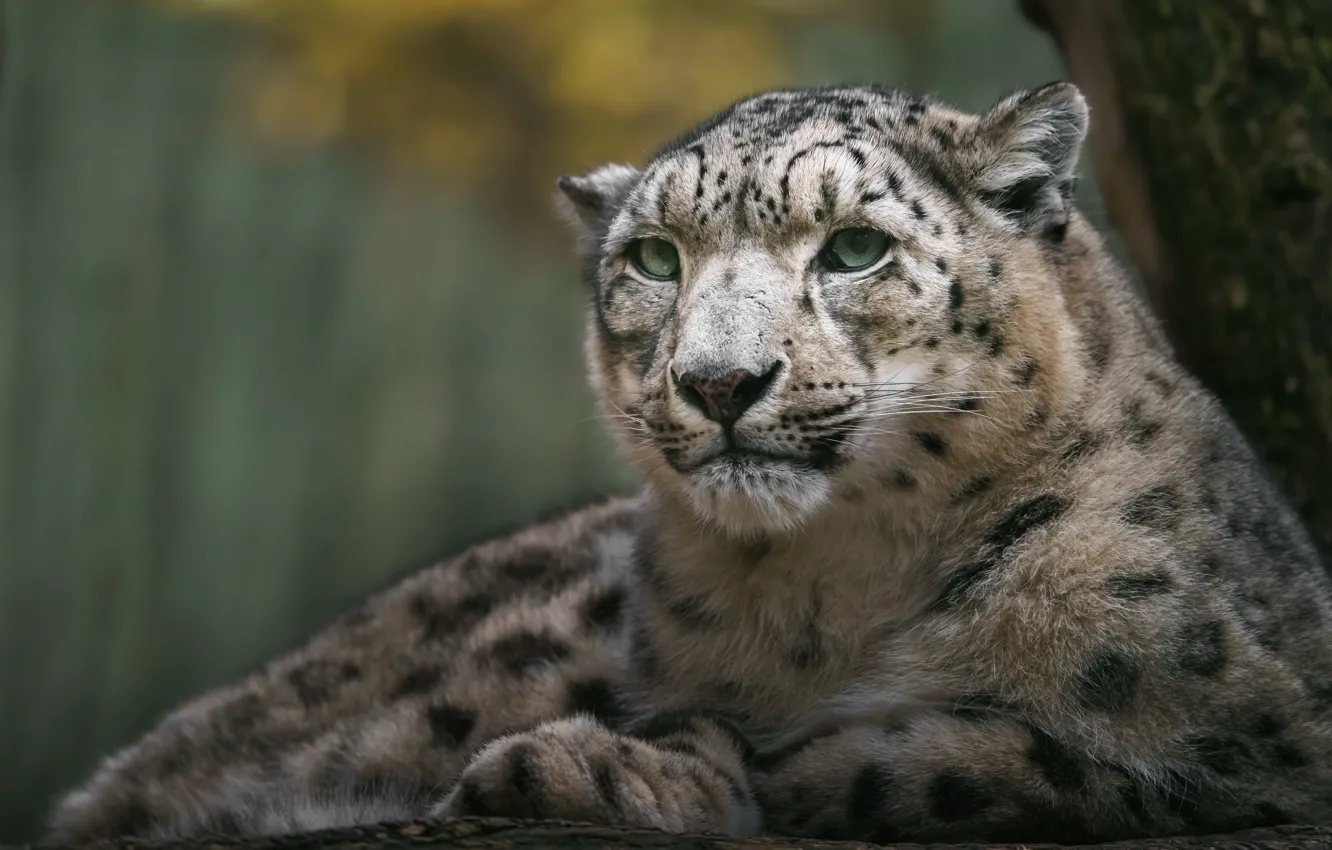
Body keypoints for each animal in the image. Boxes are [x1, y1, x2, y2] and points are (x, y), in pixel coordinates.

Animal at [46, 81, 1332, 846]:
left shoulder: (1250, 741)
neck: (830, 596)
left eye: (855, 247)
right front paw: (598, 765)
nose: (719, 382)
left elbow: (993, 762)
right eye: (656, 258)